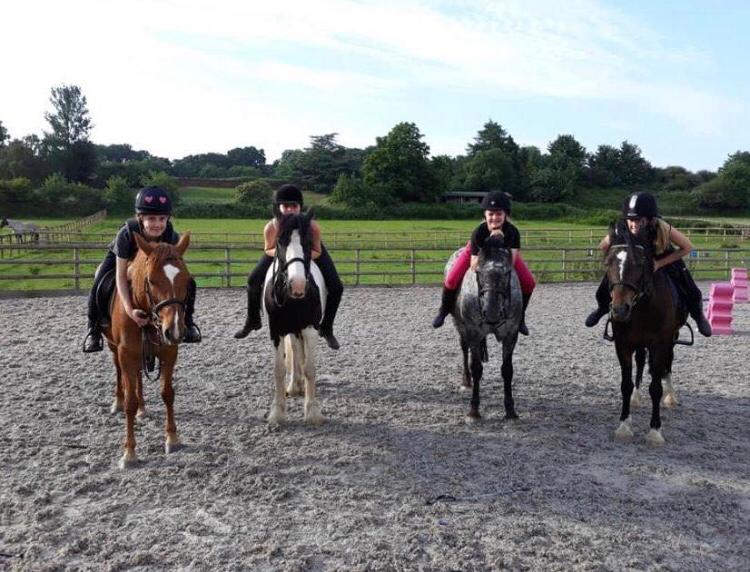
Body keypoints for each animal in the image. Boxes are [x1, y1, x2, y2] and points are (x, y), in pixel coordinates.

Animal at [104, 232, 192, 468]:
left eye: (186, 279)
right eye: (151, 280)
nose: (174, 330)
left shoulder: (169, 352)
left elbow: (167, 393)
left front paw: (172, 438)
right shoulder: (126, 354)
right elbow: (130, 403)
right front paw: (129, 453)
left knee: (138, 379)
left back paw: (143, 409)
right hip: (115, 350)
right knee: (119, 374)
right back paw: (117, 401)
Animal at [264, 211, 326, 426]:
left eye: (308, 242)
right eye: (280, 242)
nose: (297, 285)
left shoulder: (310, 329)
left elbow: (310, 368)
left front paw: (312, 412)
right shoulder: (276, 331)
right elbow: (279, 370)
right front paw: (277, 413)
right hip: (290, 329)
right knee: (294, 352)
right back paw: (294, 386)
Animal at [447, 237, 523, 422]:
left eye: (506, 273)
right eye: (479, 272)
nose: (492, 311)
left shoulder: (511, 334)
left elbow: (507, 370)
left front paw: (510, 409)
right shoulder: (473, 332)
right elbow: (476, 368)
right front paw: (474, 410)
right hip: (460, 325)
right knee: (464, 348)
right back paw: (466, 380)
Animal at [604, 221, 687, 446]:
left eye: (640, 264)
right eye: (608, 263)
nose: (619, 310)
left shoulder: (660, 344)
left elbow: (655, 388)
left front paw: (655, 431)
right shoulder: (623, 345)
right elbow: (625, 384)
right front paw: (624, 426)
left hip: (671, 340)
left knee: (668, 363)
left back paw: (671, 395)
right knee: (641, 361)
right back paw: (636, 396)